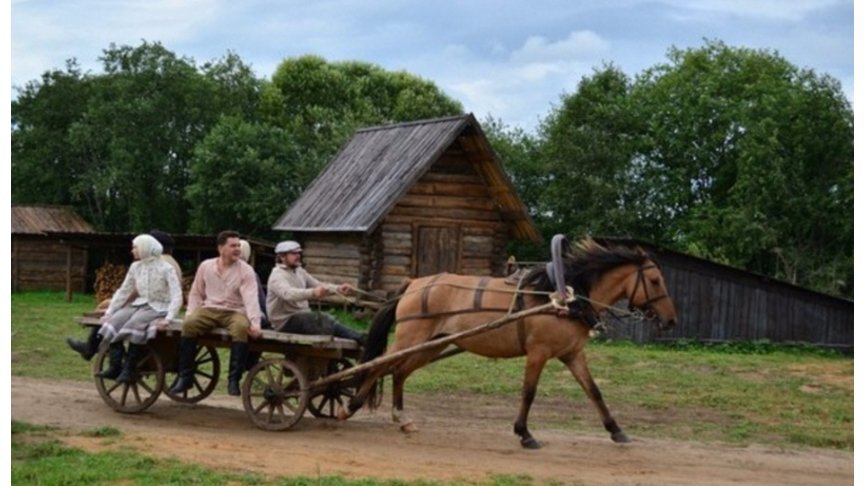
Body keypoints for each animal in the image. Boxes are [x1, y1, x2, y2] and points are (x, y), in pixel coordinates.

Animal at [338, 235, 676, 448]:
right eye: (655, 280)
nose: (671, 320)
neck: (564, 297)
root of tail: (414, 283)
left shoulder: (572, 354)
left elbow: (594, 391)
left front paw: (617, 431)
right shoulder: (538, 352)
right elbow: (529, 392)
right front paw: (525, 434)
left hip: (432, 344)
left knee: (398, 372)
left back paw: (402, 418)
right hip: (411, 338)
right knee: (377, 366)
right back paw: (350, 407)